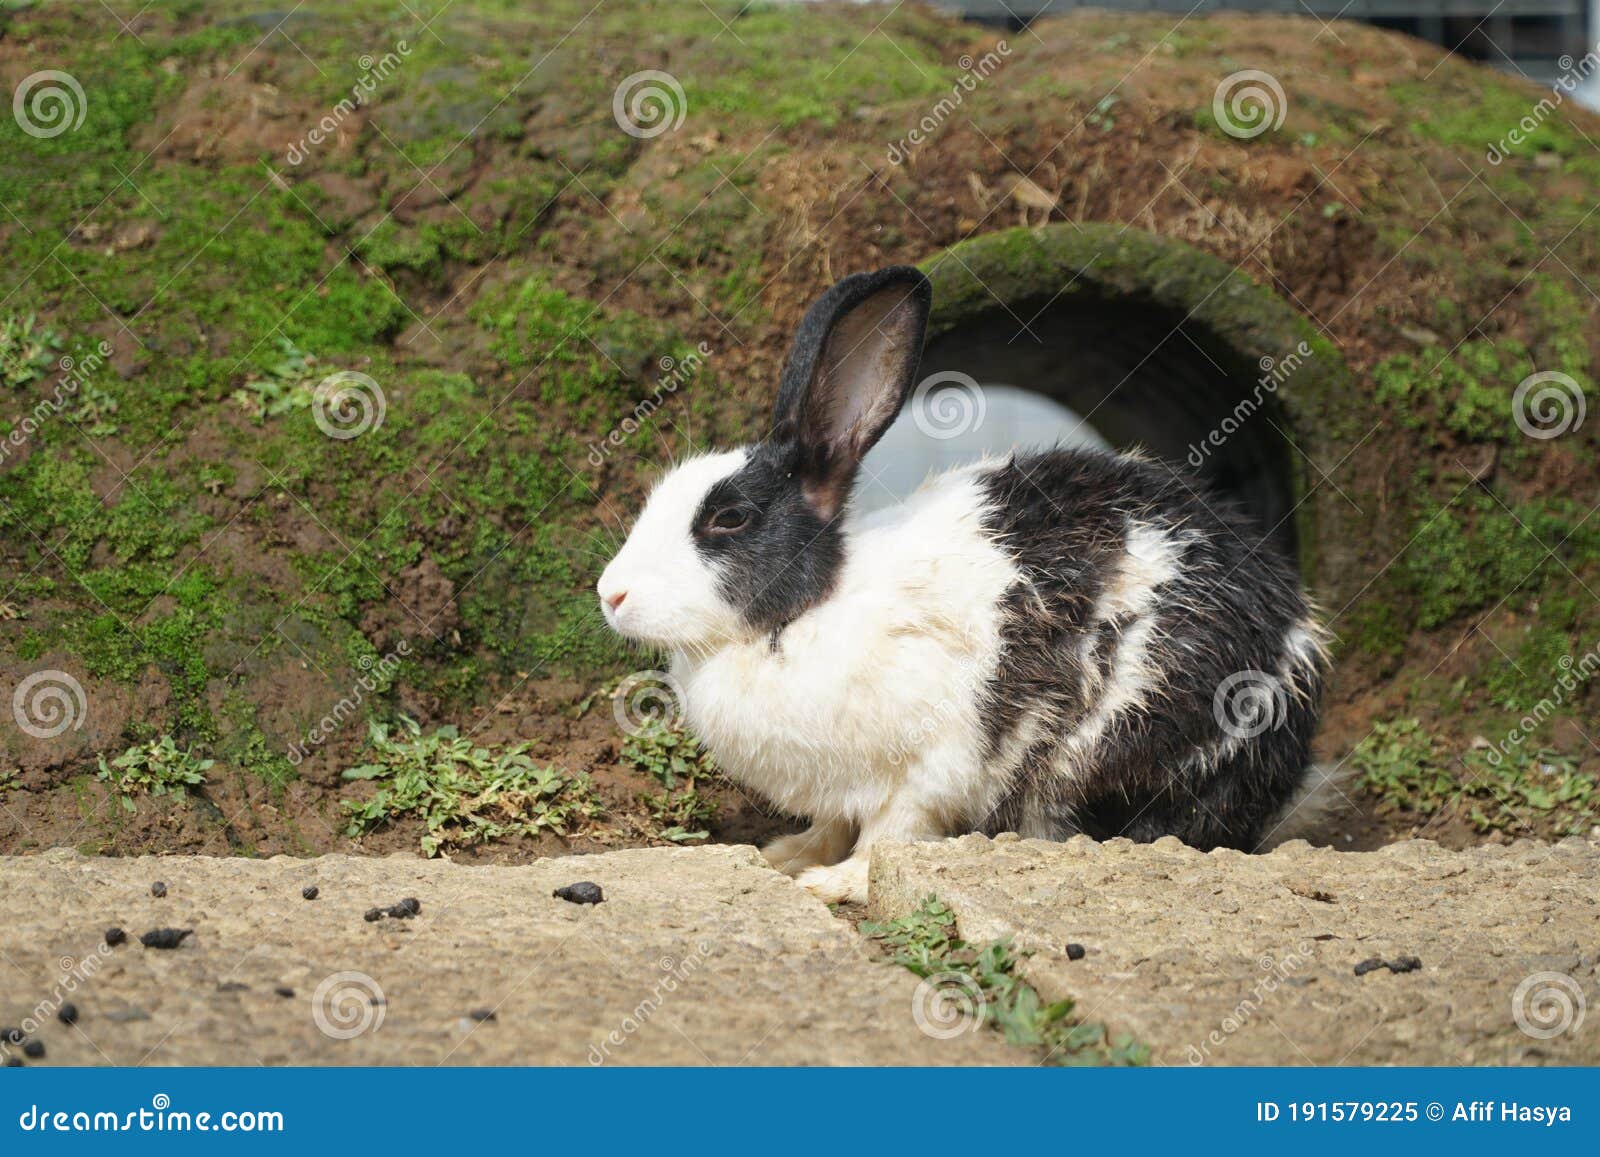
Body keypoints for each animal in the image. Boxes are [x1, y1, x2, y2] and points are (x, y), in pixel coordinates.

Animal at [598, 266, 1330, 904]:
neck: (802, 614)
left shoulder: (930, 766)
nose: (610, 594)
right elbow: (833, 824)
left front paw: (832, 884)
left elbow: (888, 836)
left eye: (729, 518)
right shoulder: (842, 788)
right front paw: (789, 855)